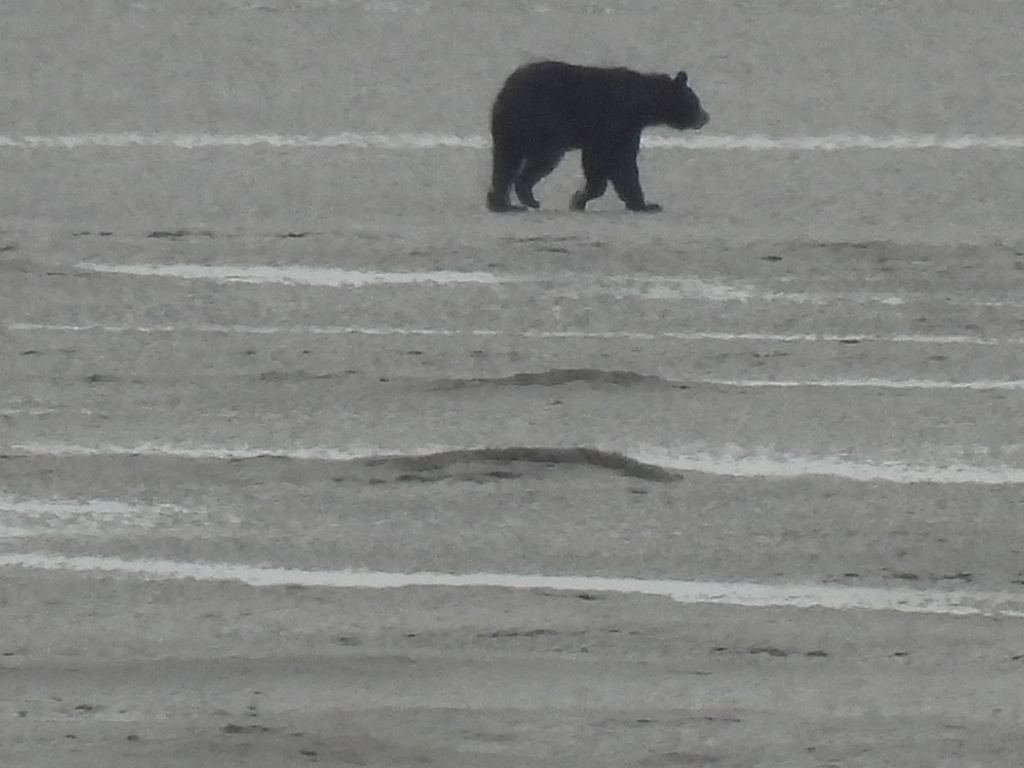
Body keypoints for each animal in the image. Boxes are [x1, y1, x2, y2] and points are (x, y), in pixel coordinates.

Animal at [485, 61, 709, 213]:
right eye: (696, 102)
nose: (705, 117)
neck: (640, 103)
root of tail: (504, 95)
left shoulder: (610, 132)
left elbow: (602, 165)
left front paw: (579, 199)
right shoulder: (616, 125)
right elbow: (620, 164)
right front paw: (645, 204)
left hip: (509, 132)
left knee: (504, 164)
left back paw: (501, 203)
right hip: (543, 124)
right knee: (541, 159)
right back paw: (527, 198)